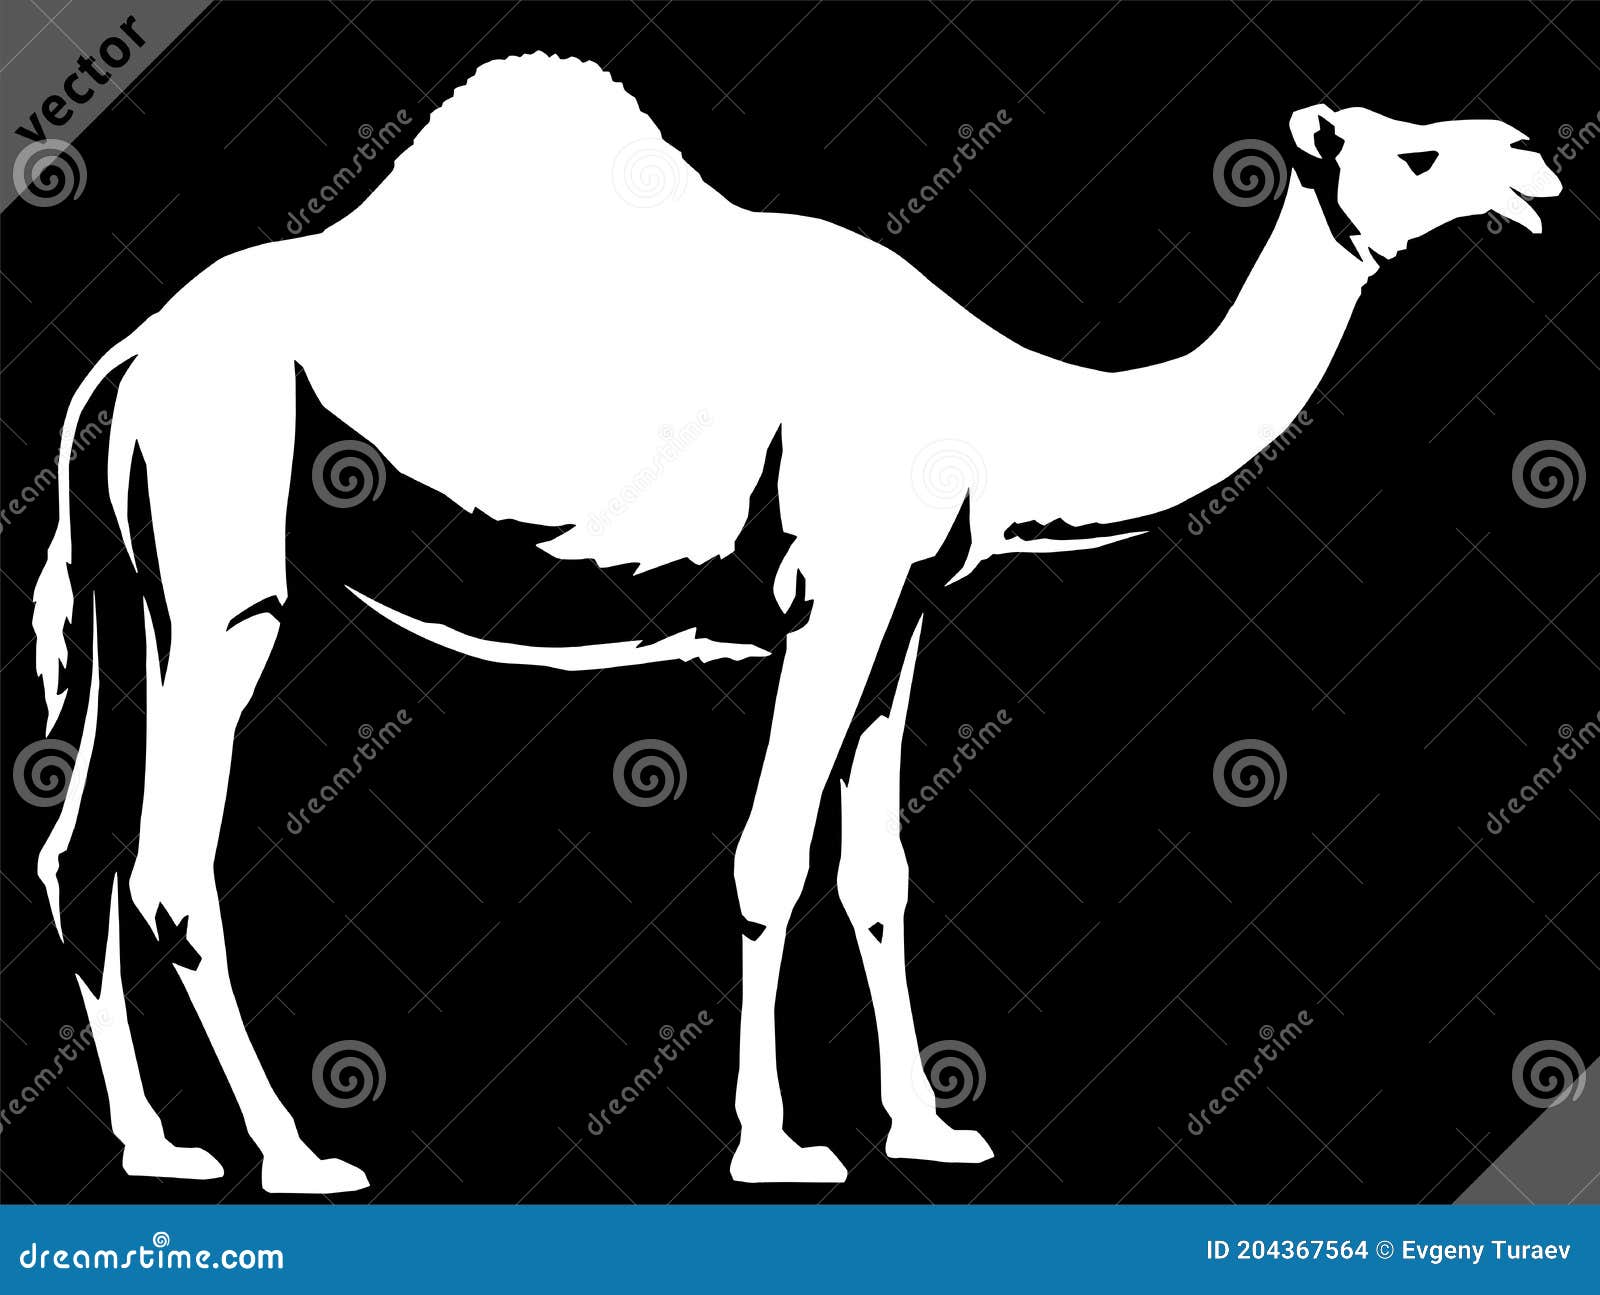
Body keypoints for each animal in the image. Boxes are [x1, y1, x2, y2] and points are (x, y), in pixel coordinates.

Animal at [30, 54, 1559, 1191]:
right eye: (1409, 156)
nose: (1532, 161)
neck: (996, 407)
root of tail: (126, 354)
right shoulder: (839, 588)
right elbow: (768, 857)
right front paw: (775, 1145)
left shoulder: (902, 614)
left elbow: (875, 869)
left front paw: (929, 1126)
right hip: (226, 567)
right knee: (170, 864)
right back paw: (296, 1154)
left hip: (136, 592)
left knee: (81, 850)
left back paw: (158, 1148)